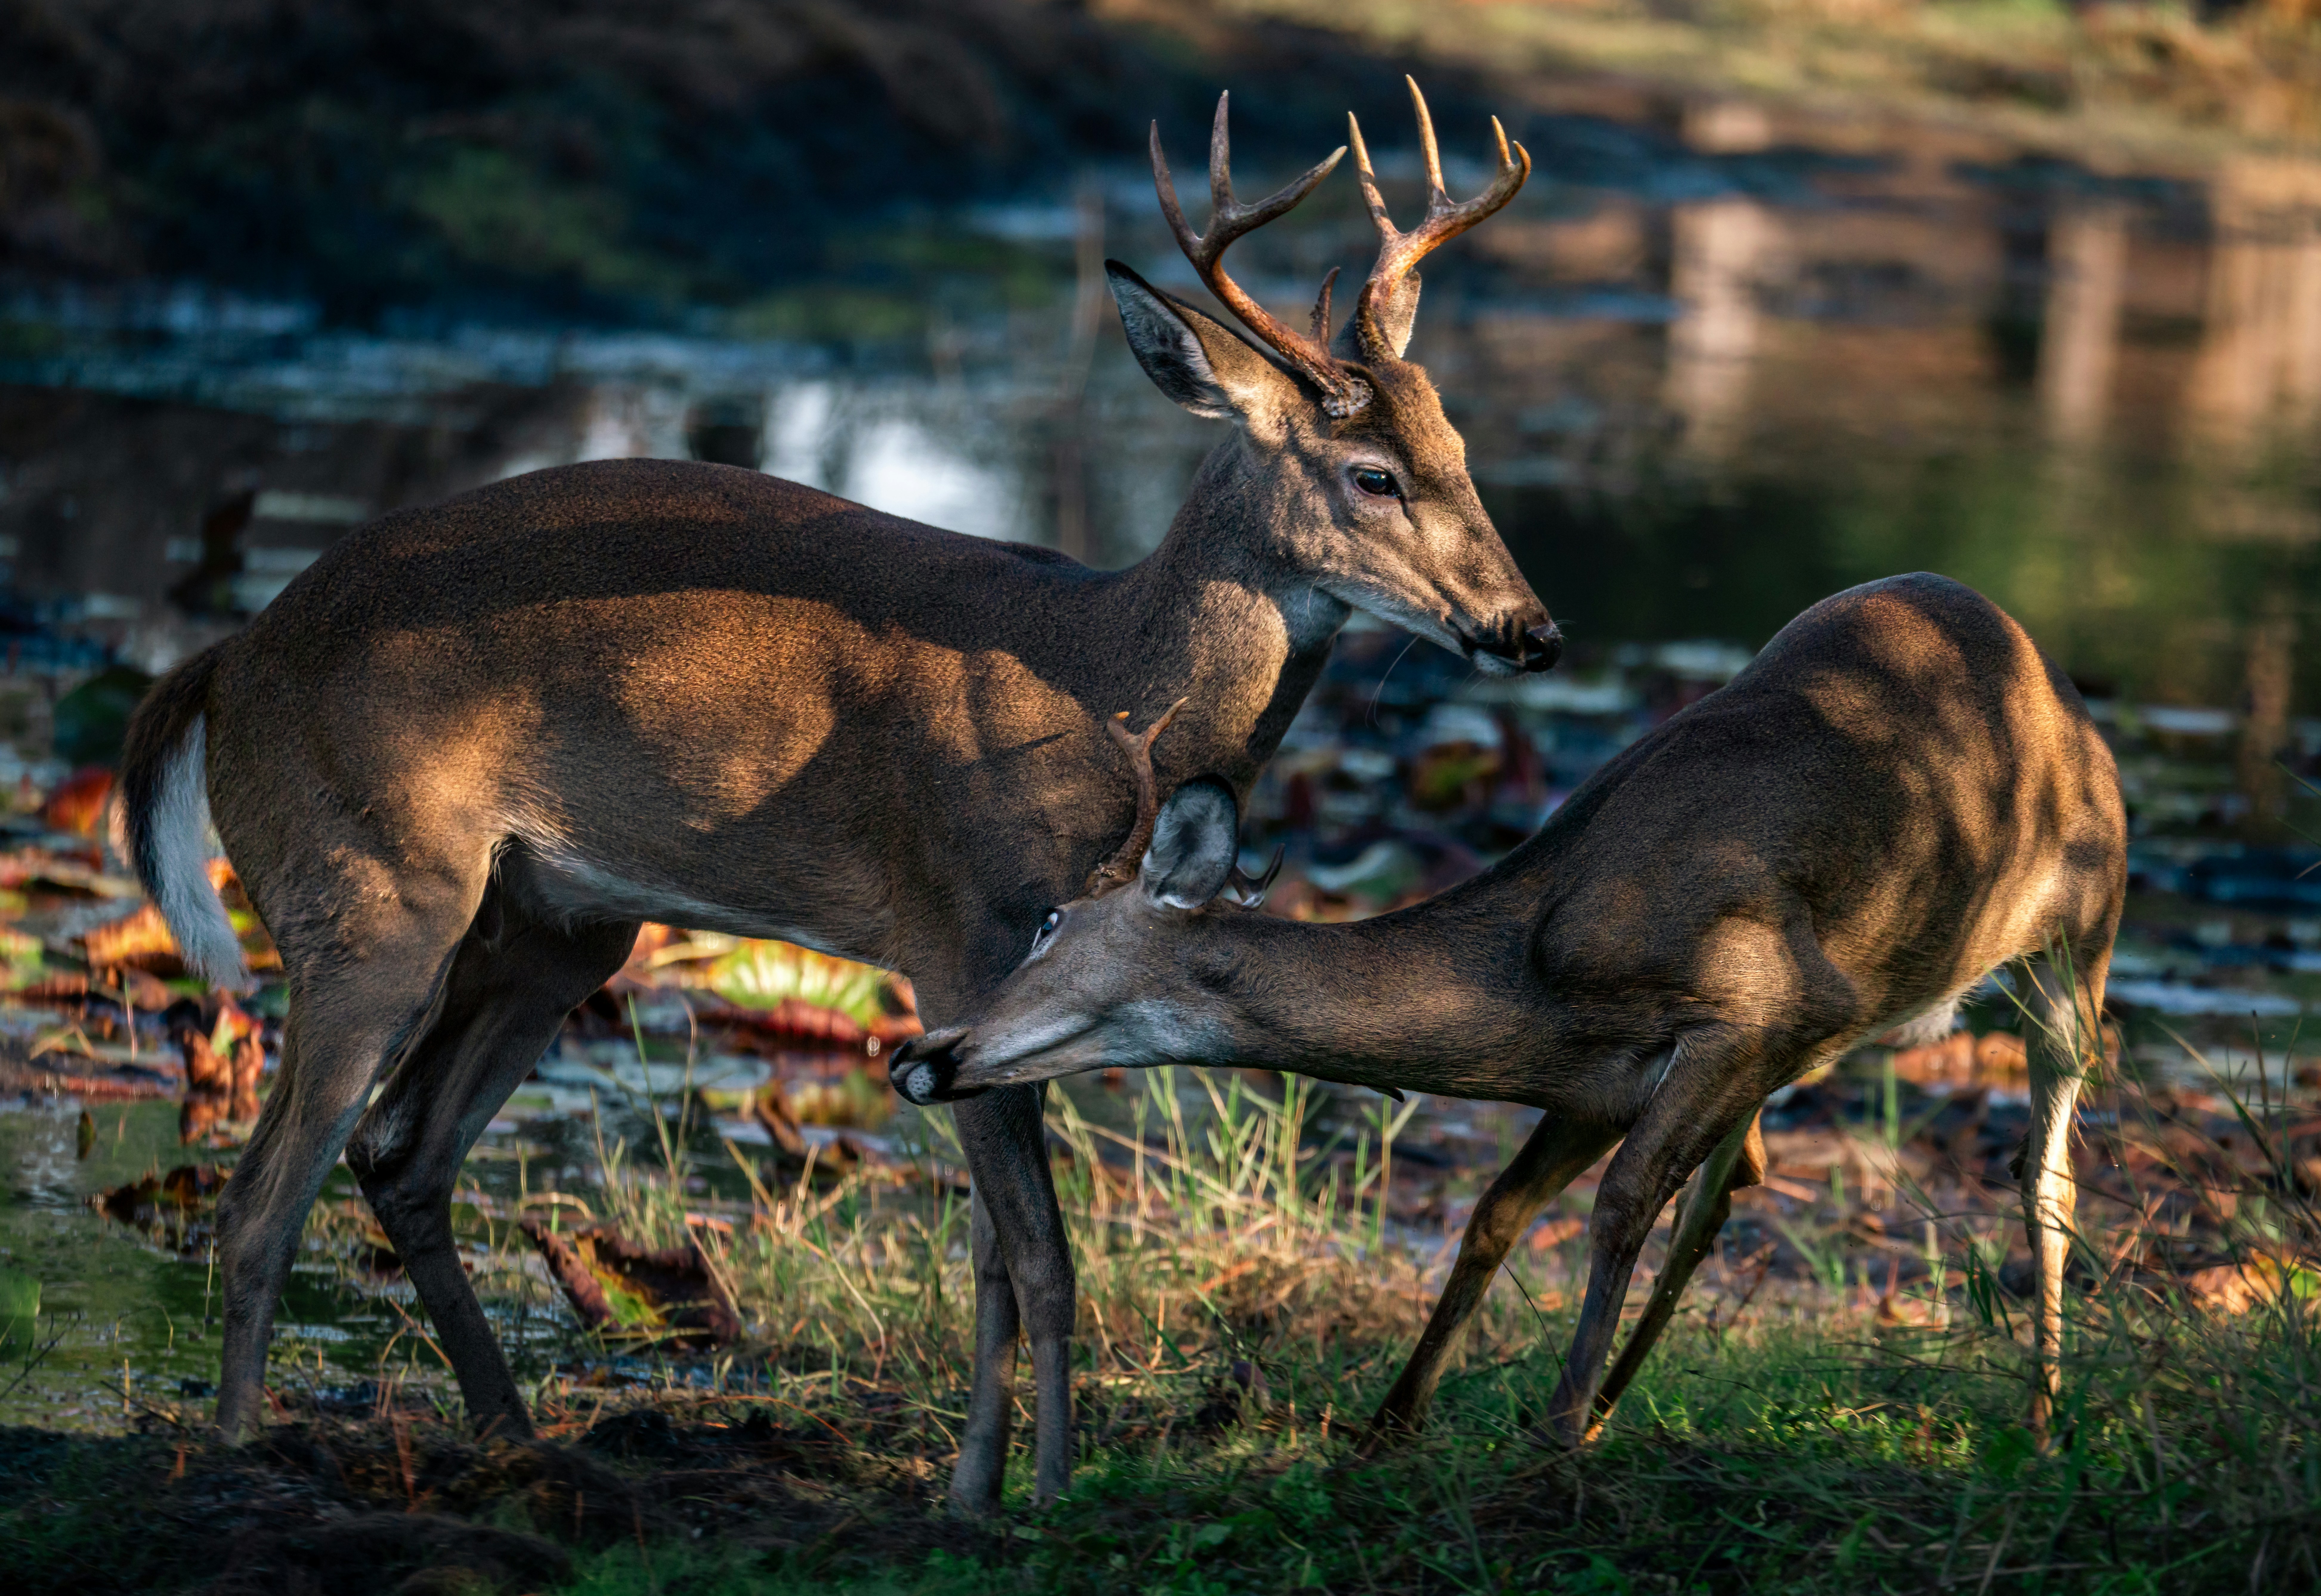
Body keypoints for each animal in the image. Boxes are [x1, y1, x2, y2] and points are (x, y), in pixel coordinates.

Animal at [115, 81, 1555, 1510]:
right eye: (1371, 475)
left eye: (1455, 446)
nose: (1528, 628)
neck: (1102, 683)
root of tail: (223, 661)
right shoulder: (958, 929)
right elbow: (1039, 1254)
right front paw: (1040, 1494)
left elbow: (990, 1253)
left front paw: (971, 1488)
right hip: (372, 888)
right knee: (262, 1198)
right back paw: (242, 1454)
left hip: (553, 923)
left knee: (400, 1156)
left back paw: (518, 1439)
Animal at [890, 573, 2127, 1448]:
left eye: (1050, 920)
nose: (921, 1051)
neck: (1537, 963)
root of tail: (2052, 677)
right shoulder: (1605, 1076)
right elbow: (1496, 1208)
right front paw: (1393, 1421)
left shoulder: (1764, 1003)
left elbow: (1619, 1206)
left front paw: (1548, 1440)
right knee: (1738, 1179)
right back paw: (1621, 1401)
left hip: (2081, 929)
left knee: (2047, 1173)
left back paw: (2040, 1421)